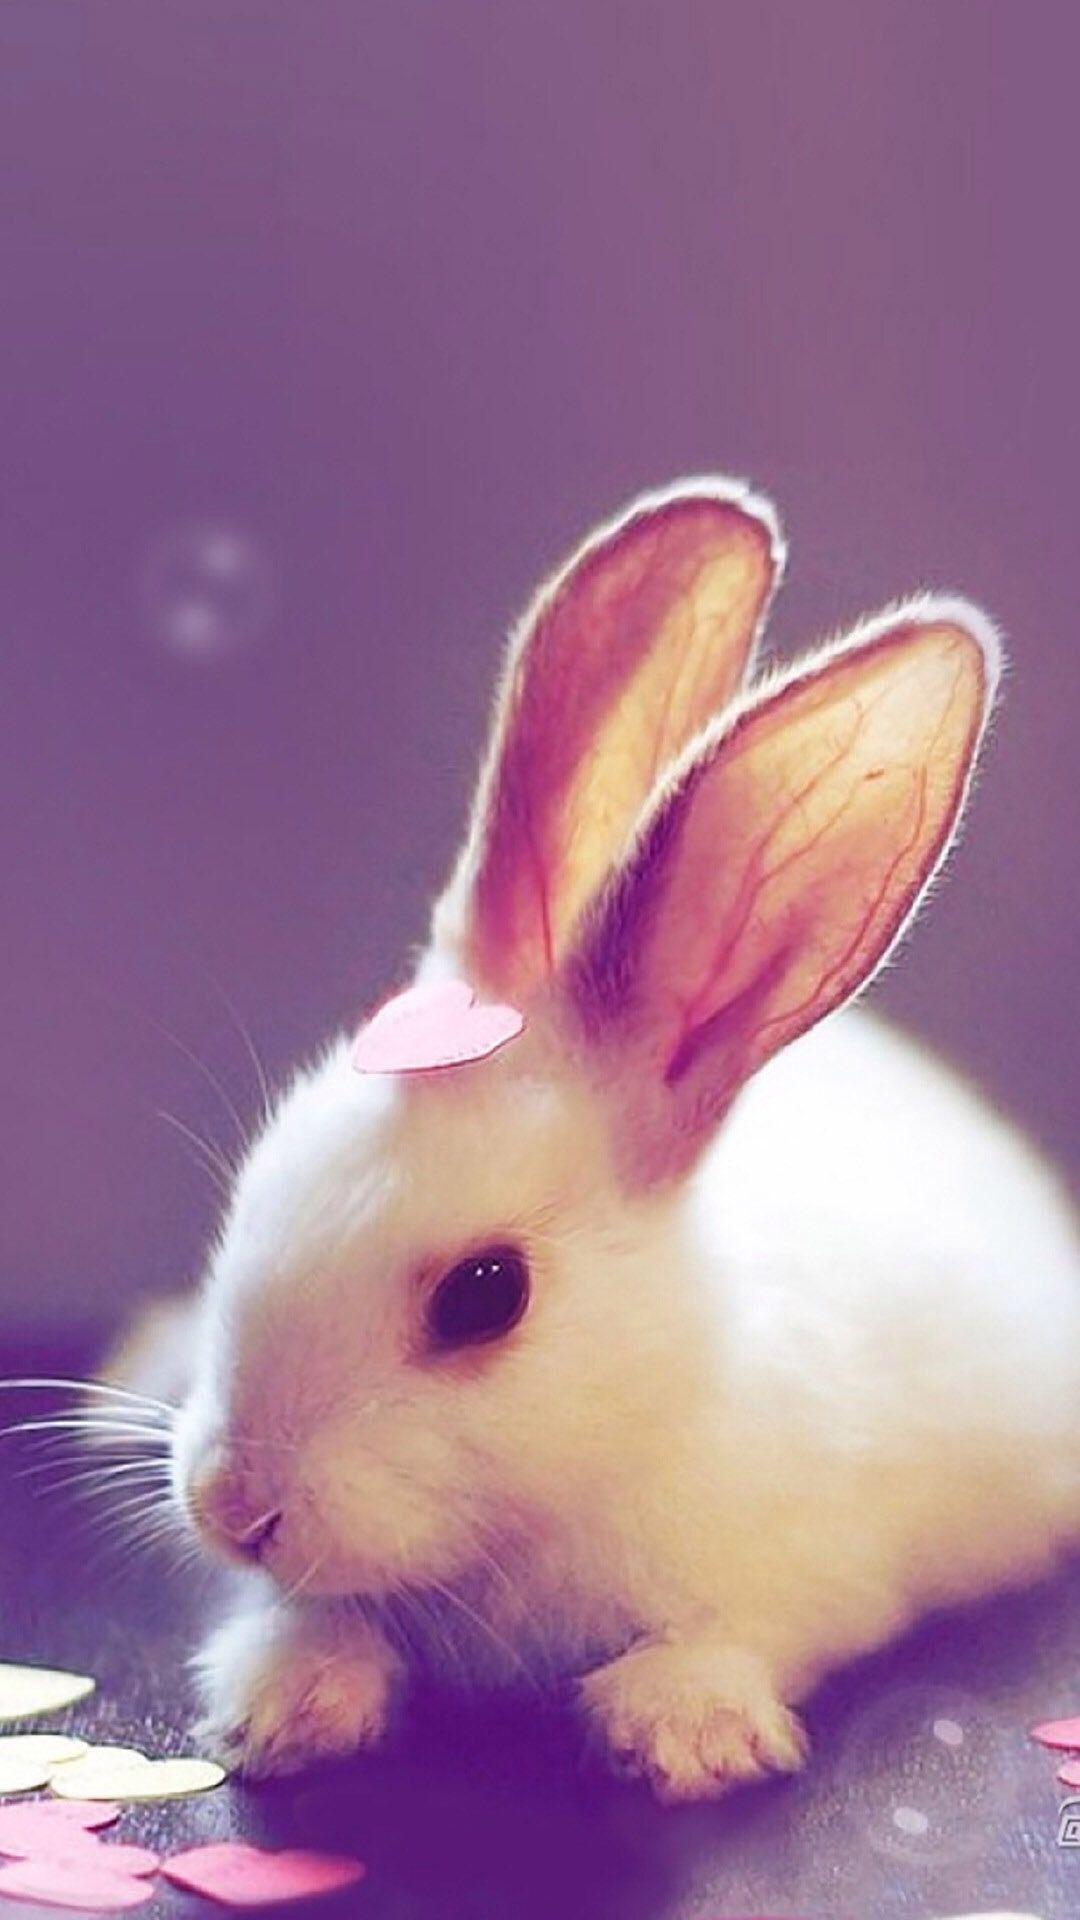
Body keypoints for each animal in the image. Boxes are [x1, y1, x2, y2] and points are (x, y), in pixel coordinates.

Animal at [160, 478, 1080, 1801]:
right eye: (252, 1190)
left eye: (485, 1294)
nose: (231, 1505)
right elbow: (318, 1617)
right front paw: (284, 1708)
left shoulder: (809, 1573)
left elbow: (741, 1632)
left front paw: (682, 1732)